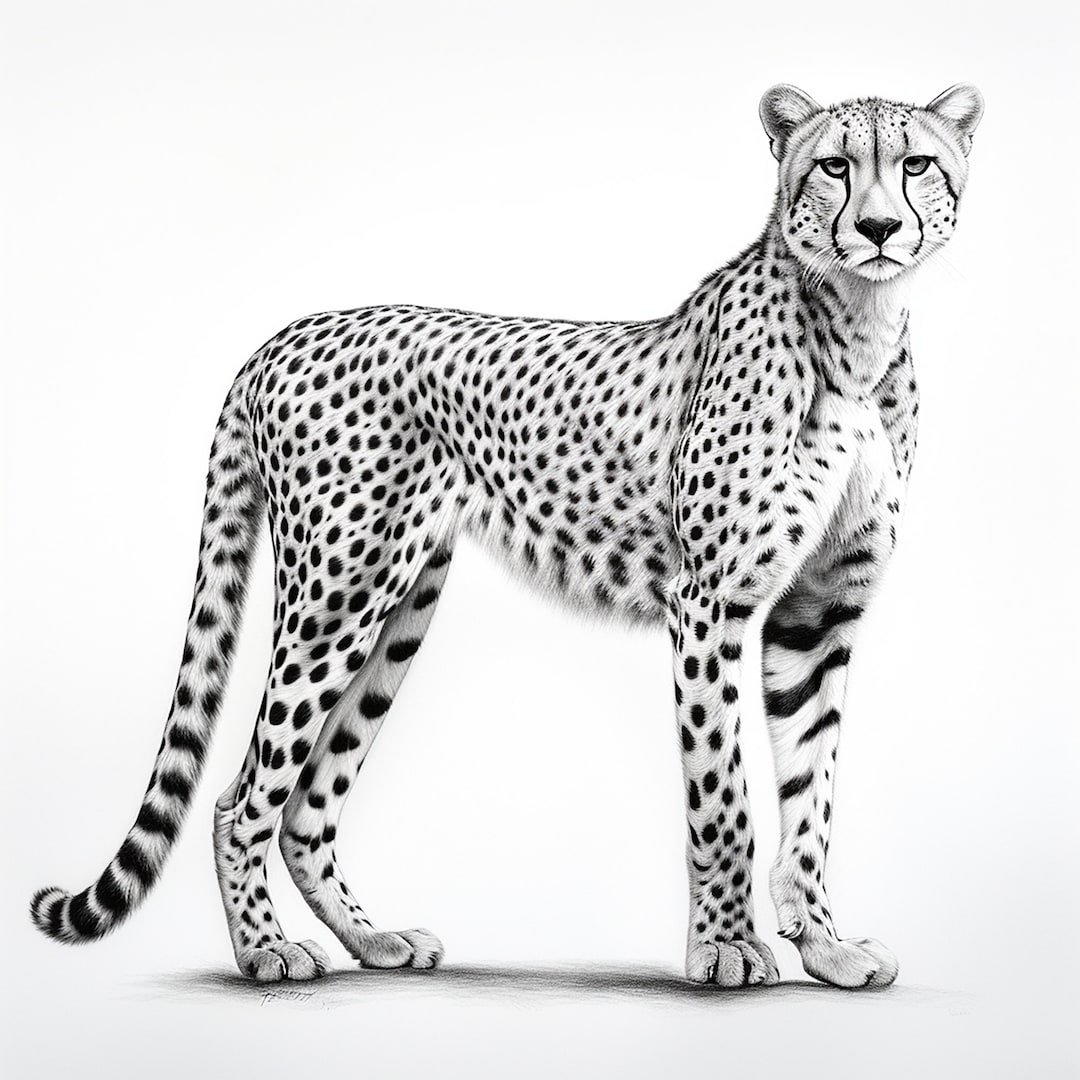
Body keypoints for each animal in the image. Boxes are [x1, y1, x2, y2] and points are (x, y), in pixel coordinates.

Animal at [31, 83, 983, 988]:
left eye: (916, 164)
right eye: (834, 166)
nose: (879, 227)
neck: (858, 328)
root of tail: (281, 338)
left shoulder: (817, 614)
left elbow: (810, 795)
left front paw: (824, 947)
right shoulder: (711, 603)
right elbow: (725, 797)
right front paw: (726, 949)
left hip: (399, 609)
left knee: (309, 804)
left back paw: (373, 940)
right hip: (336, 599)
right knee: (242, 800)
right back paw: (266, 951)